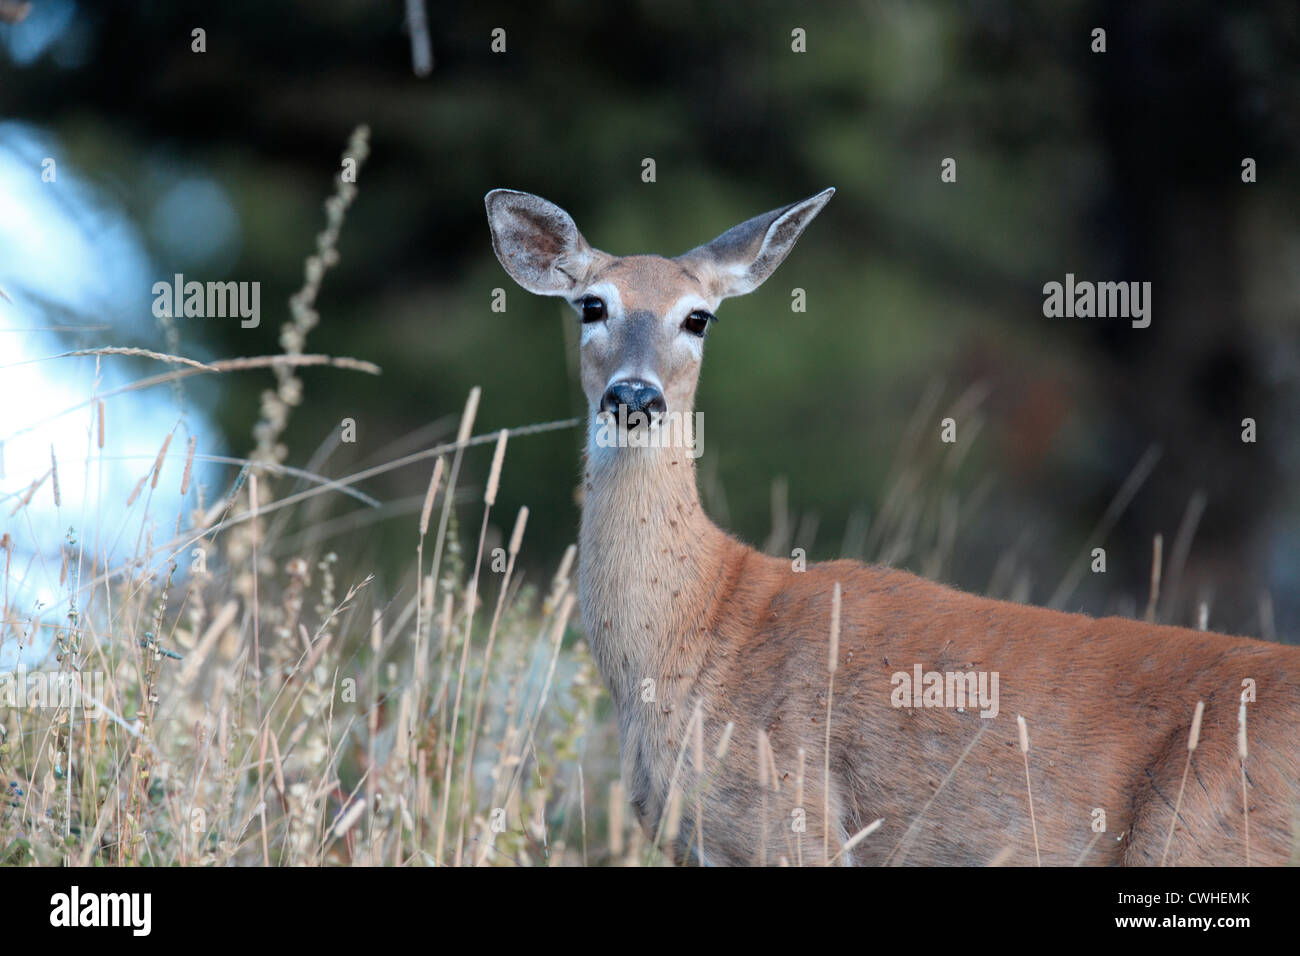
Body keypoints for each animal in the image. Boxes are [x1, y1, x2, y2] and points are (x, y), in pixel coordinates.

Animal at [484, 186, 1300, 866]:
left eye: (698, 317)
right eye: (592, 305)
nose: (634, 395)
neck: (693, 632)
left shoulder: (794, 823)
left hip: (1207, 836)